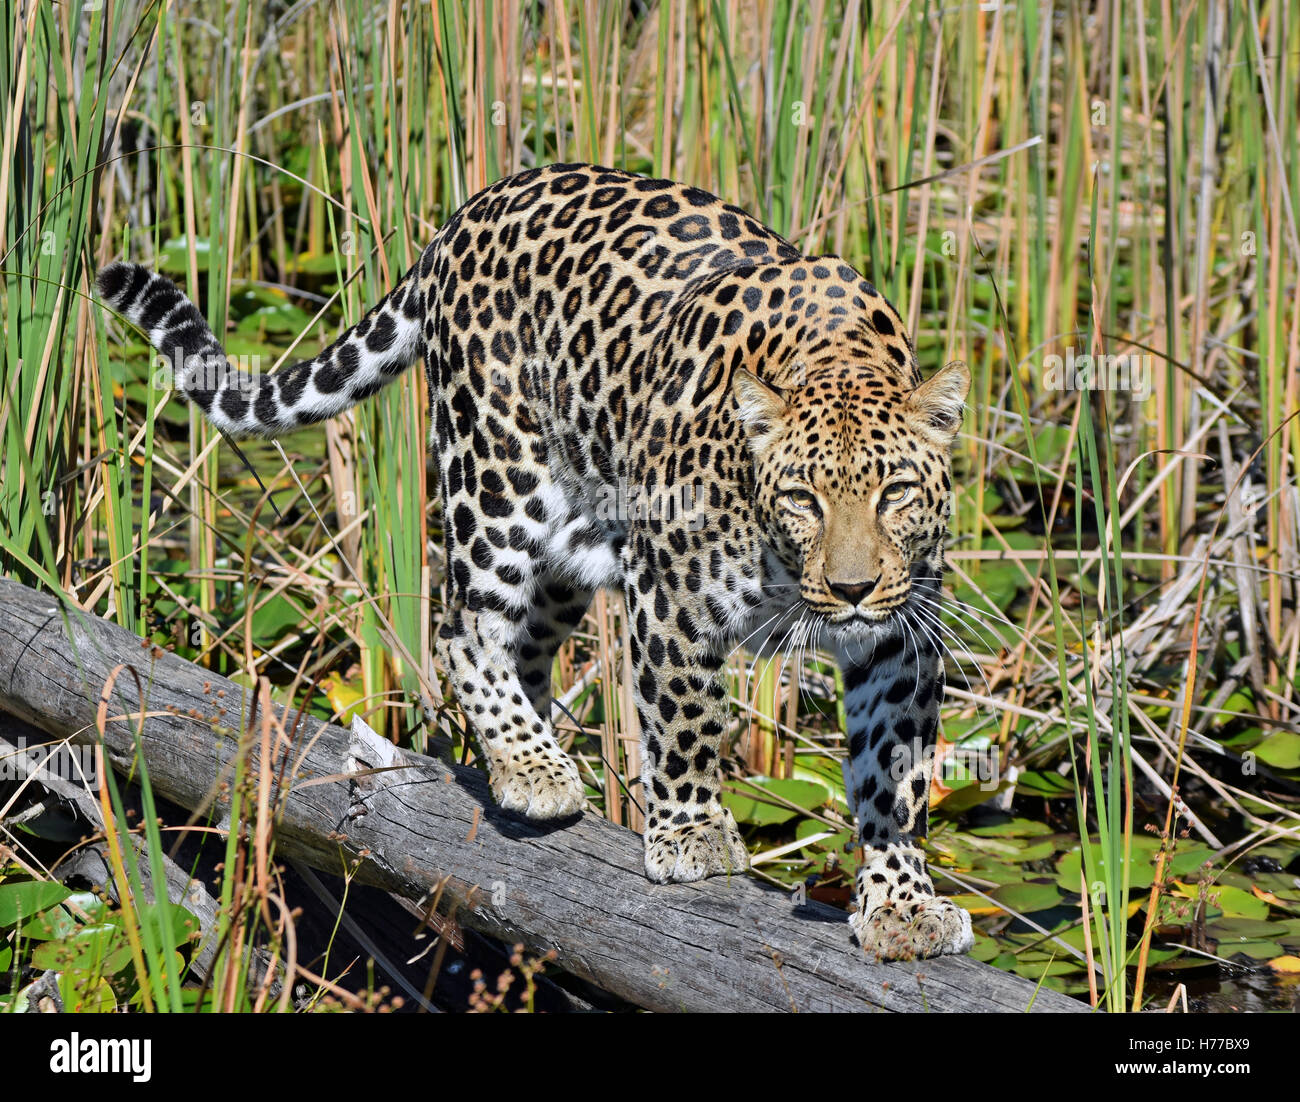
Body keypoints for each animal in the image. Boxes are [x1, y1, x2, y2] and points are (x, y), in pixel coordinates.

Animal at [97, 161, 974, 960]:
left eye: (896, 491)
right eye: (801, 497)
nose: (852, 588)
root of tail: (471, 209)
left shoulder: (901, 638)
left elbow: (895, 771)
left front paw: (902, 902)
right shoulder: (670, 600)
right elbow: (686, 718)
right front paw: (692, 833)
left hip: (568, 550)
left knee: (526, 648)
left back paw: (532, 748)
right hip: (495, 481)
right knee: (461, 631)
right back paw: (532, 769)